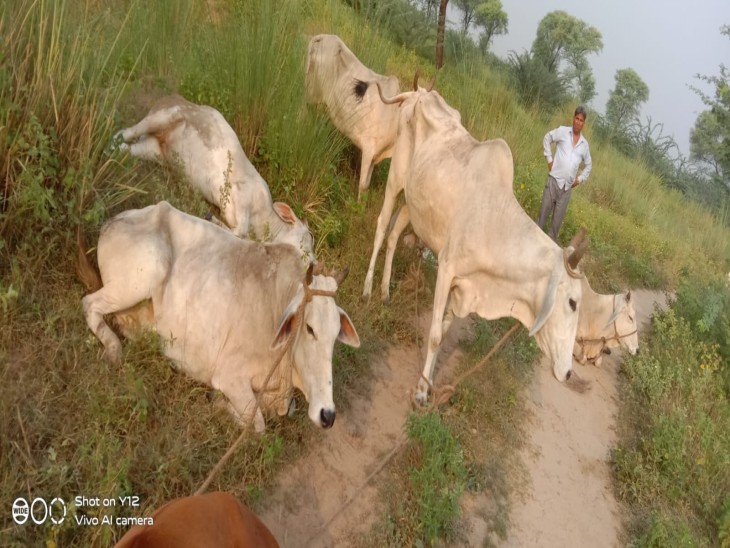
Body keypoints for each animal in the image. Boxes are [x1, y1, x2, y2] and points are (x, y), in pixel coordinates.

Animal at [78, 201, 360, 432]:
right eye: (310, 328)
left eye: (336, 334)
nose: (327, 415)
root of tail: (113, 220)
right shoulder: (229, 377)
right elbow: (257, 423)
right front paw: (217, 403)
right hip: (144, 274)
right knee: (89, 304)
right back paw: (113, 349)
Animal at [109, 95, 315, 264]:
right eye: (310, 236)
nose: (314, 263)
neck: (264, 221)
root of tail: (173, 97)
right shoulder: (242, 193)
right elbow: (240, 232)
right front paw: (210, 217)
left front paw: (211, 218)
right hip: (166, 115)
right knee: (125, 132)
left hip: (155, 150)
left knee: (126, 148)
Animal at [360, 81, 588, 404]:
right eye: (572, 302)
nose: (568, 373)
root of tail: (419, 94)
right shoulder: (446, 269)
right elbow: (434, 335)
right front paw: (420, 395)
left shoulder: (464, 288)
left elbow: (443, 332)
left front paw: (425, 386)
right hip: (396, 180)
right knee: (381, 228)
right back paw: (368, 290)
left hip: (414, 203)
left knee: (393, 237)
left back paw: (384, 292)